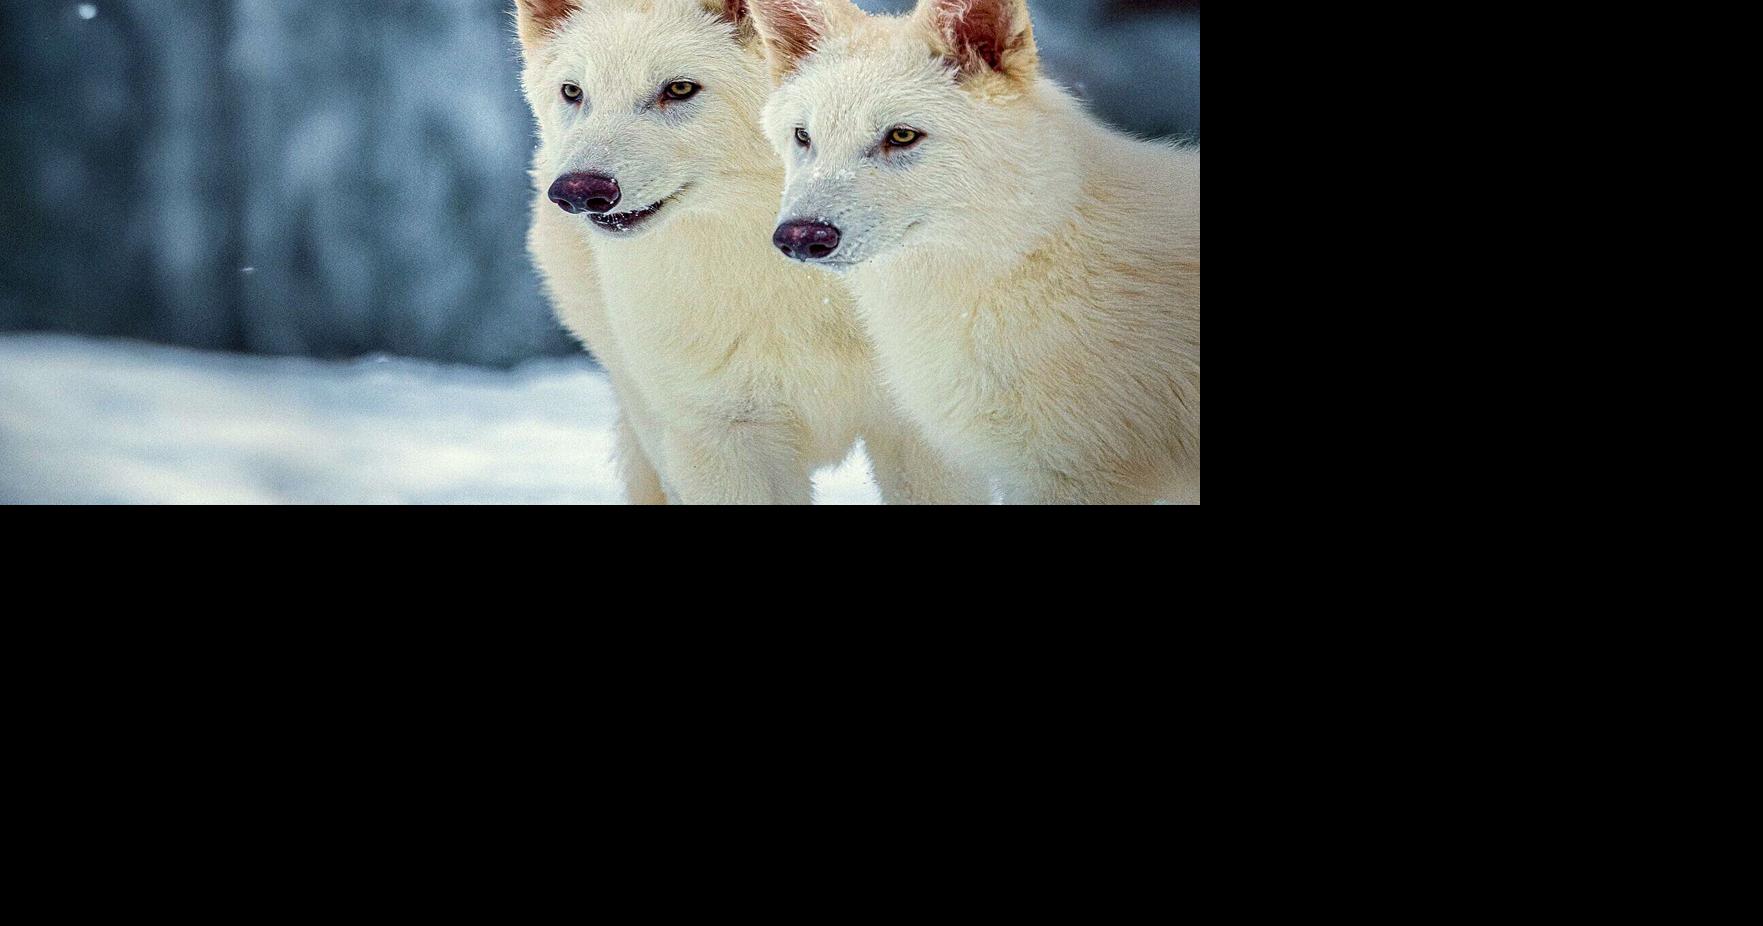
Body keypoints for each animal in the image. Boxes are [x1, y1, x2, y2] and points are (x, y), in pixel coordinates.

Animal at [516, 0, 979, 504]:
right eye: (573, 92)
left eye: (679, 89)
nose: (579, 191)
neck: (801, 293)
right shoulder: (722, 438)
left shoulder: (920, 431)